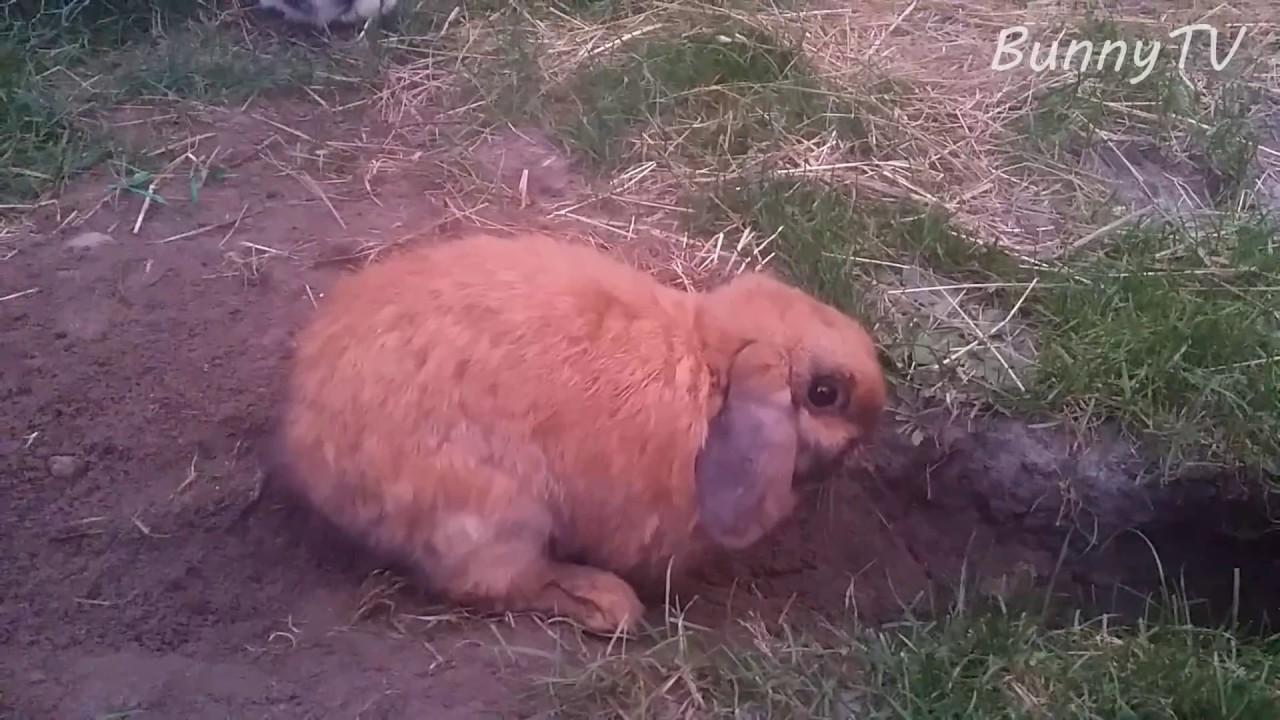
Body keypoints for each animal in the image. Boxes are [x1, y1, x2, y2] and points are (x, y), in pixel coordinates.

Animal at [277, 230, 886, 635]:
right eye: (824, 393)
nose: (872, 427)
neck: (712, 369)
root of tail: (308, 442)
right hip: (495, 516)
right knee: (494, 584)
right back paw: (607, 604)